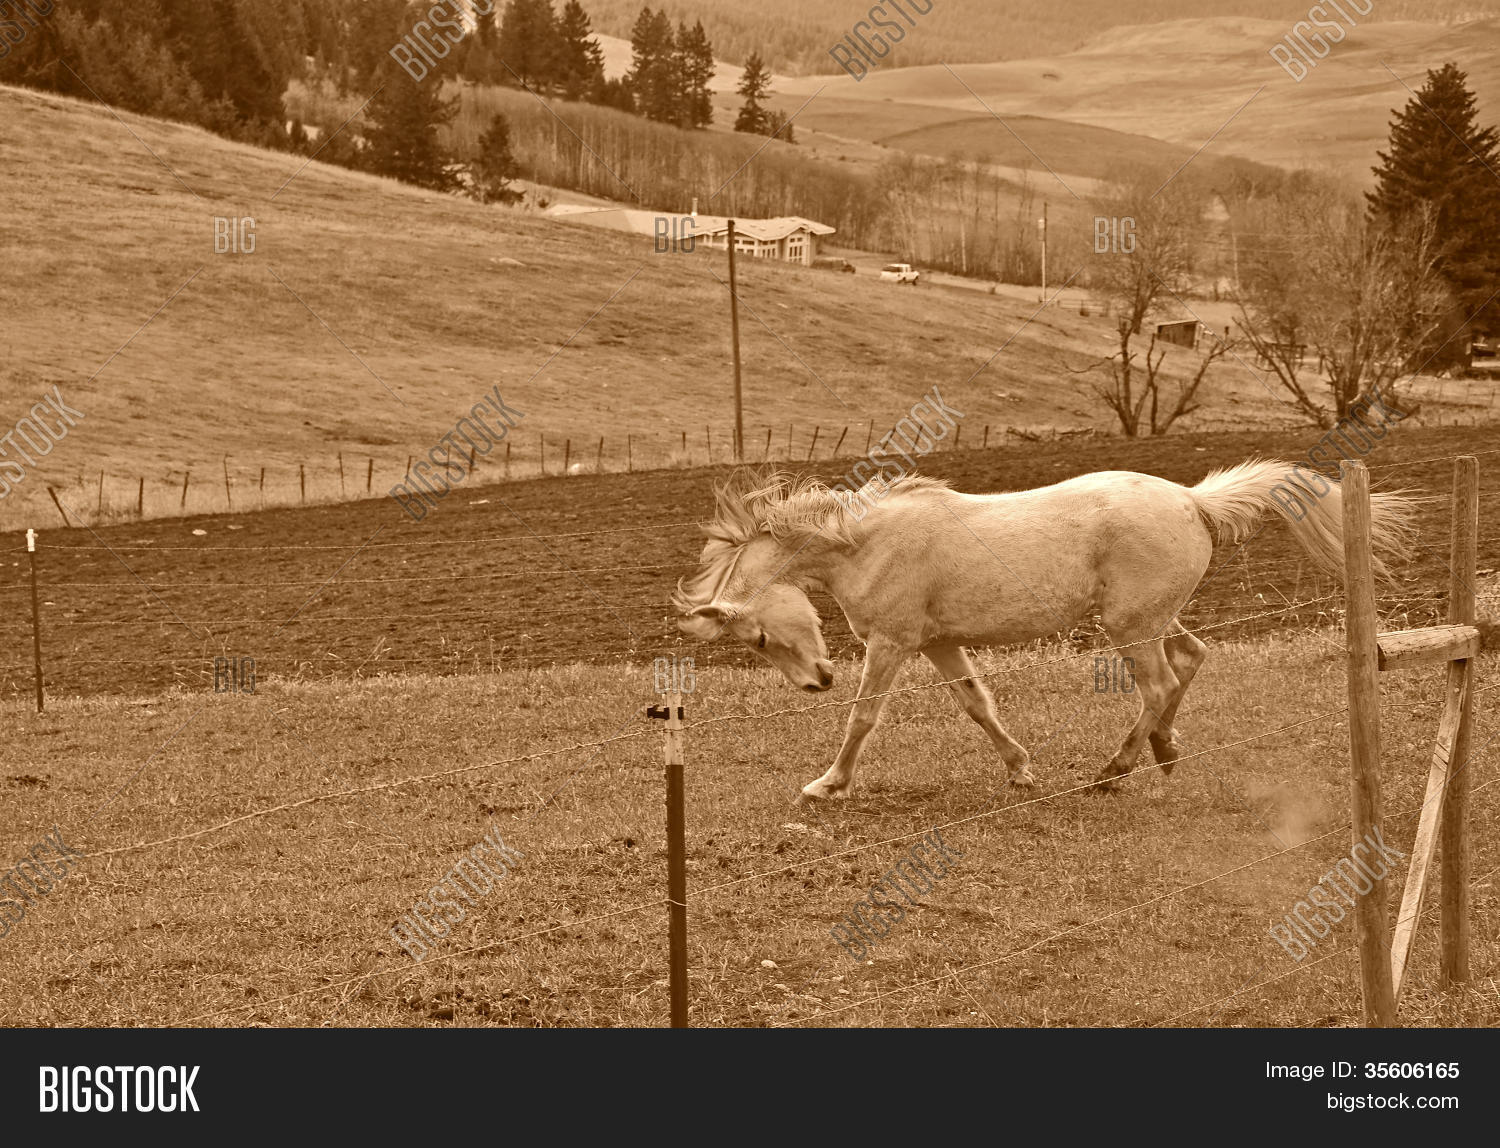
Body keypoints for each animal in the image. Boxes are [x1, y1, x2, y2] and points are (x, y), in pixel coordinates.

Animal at [672, 460, 1413, 803]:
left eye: (756, 640)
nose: (816, 682)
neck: (863, 542)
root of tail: (1191, 499)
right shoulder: (938, 642)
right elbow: (976, 704)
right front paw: (1020, 770)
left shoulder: (893, 643)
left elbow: (864, 716)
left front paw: (827, 785)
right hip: (1152, 619)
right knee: (1191, 660)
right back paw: (1166, 752)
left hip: (1130, 628)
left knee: (1159, 684)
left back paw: (1115, 771)